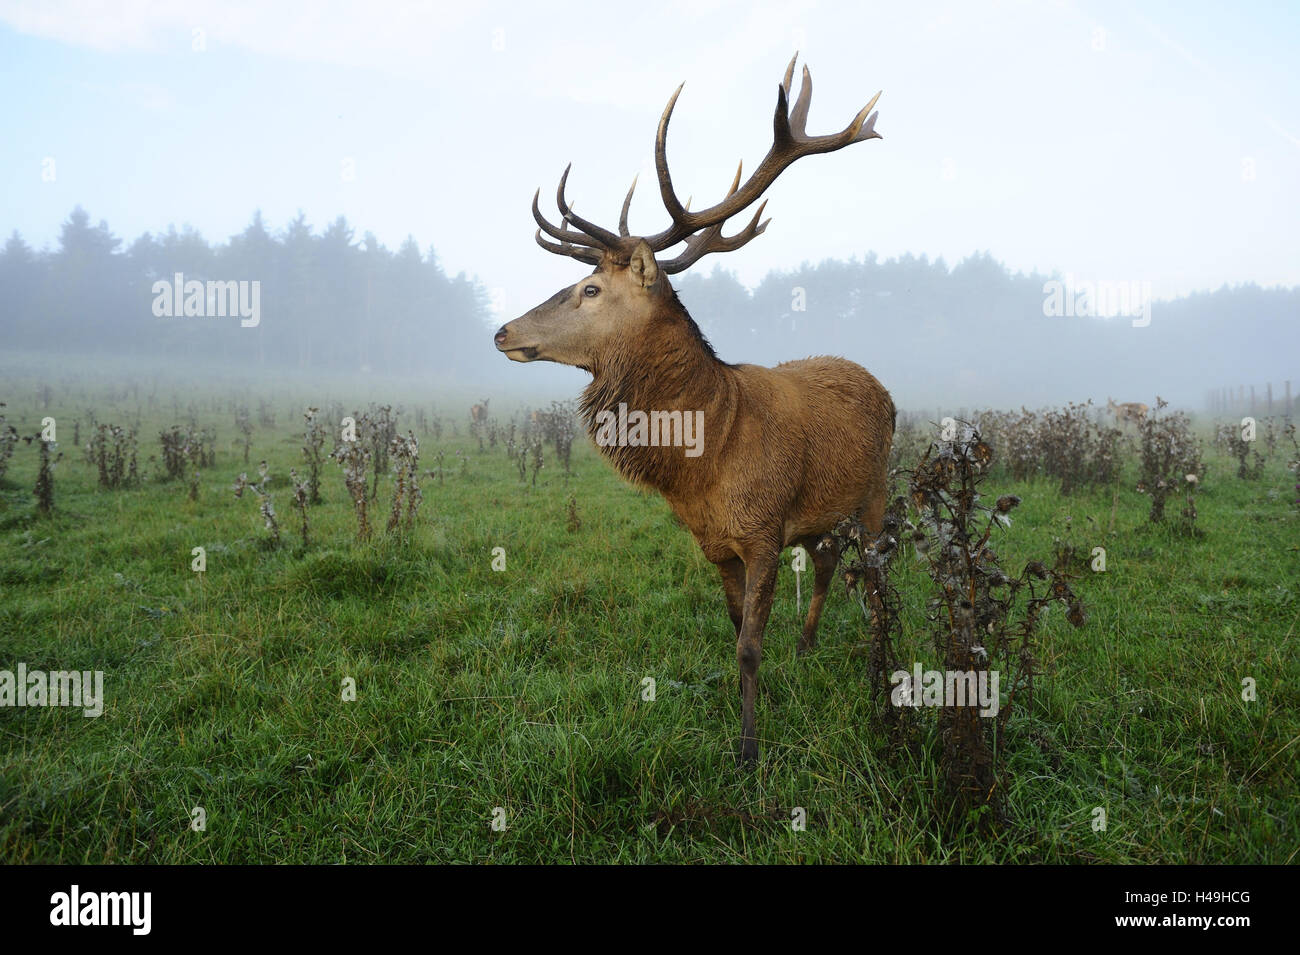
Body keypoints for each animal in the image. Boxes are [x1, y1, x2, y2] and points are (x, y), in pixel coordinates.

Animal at [494, 55, 893, 764]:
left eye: (590, 289)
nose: (503, 331)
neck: (706, 459)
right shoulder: (715, 545)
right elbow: (735, 633)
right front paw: (750, 712)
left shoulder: (764, 531)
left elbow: (750, 647)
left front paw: (750, 750)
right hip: (823, 511)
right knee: (825, 561)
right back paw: (808, 646)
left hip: (874, 492)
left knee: (873, 579)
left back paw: (876, 672)